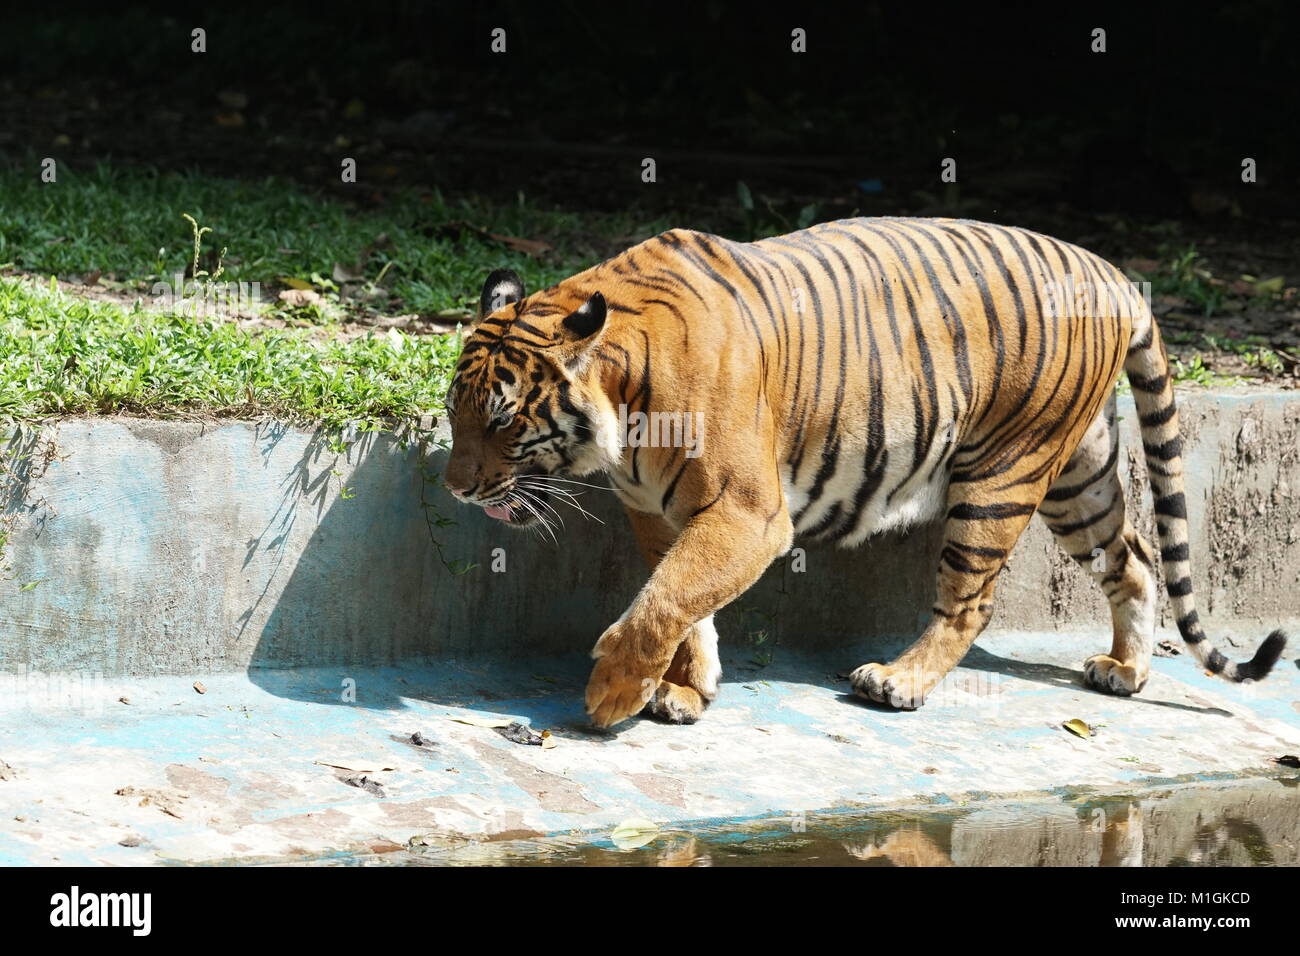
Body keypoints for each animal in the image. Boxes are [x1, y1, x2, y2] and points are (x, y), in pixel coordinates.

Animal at [441, 217, 1287, 728]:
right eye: (455, 412)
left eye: (503, 422)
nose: (455, 488)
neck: (622, 409)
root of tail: (1111, 273)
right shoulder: (658, 512)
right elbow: (683, 600)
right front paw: (684, 686)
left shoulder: (750, 513)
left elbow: (668, 597)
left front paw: (614, 694)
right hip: (1079, 475)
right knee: (1135, 558)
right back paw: (1125, 670)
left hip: (1003, 475)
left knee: (971, 601)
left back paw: (899, 682)